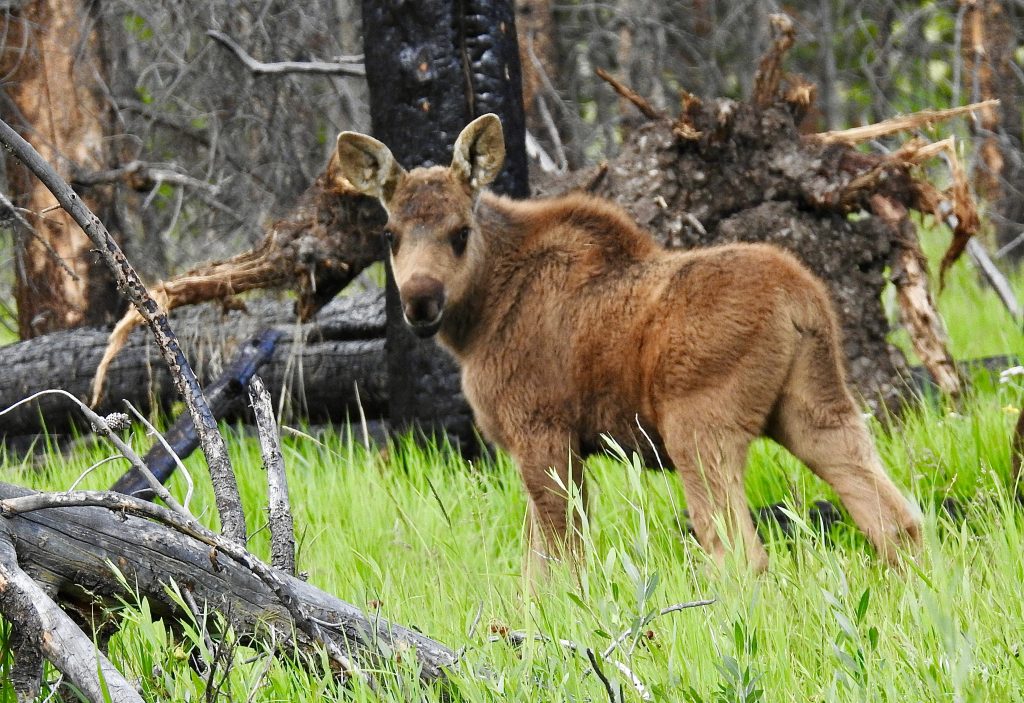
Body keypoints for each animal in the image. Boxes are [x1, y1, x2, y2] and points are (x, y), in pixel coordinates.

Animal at [335, 113, 922, 583]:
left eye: (459, 232)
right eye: (389, 234)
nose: (421, 301)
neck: (479, 321)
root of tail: (800, 303)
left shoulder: (541, 430)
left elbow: (560, 563)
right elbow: (534, 567)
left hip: (700, 426)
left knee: (740, 551)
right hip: (817, 408)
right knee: (898, 521)